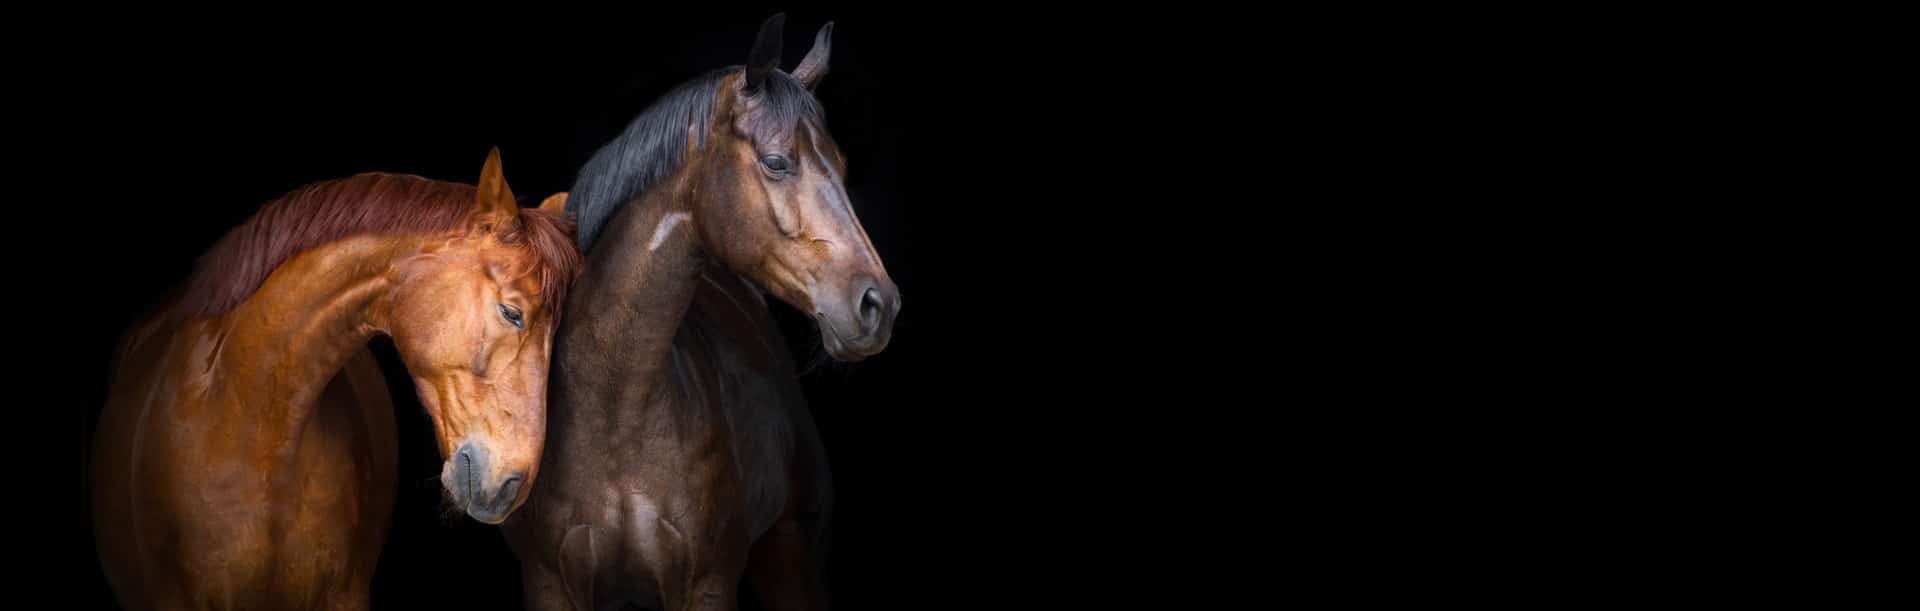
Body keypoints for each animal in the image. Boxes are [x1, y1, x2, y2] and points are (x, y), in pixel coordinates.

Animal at [500, 13, 900, 611]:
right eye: (776, 162)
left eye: (842, 165)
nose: (878, 304)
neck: (616, 410)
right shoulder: (549, 584)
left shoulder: (707, 585)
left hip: (794, 561)